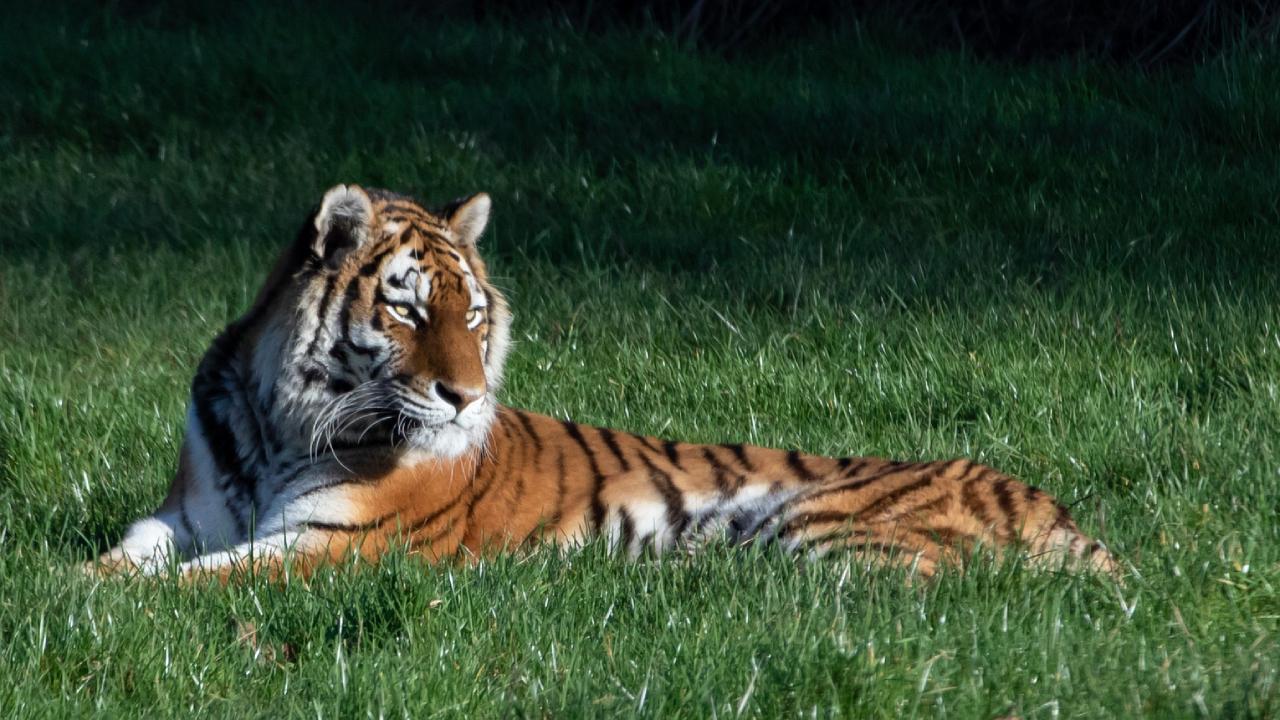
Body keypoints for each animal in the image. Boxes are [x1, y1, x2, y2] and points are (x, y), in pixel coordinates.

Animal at [87, 184, 1118, 581]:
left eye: (472, 317)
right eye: (409, 311)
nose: (465, 398)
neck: (276, 423)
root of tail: (1055, 506)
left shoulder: (332, 547)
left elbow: (194, 585)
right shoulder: (185, 515)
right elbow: (130, 553)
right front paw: (78, 582)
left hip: (829, 529)